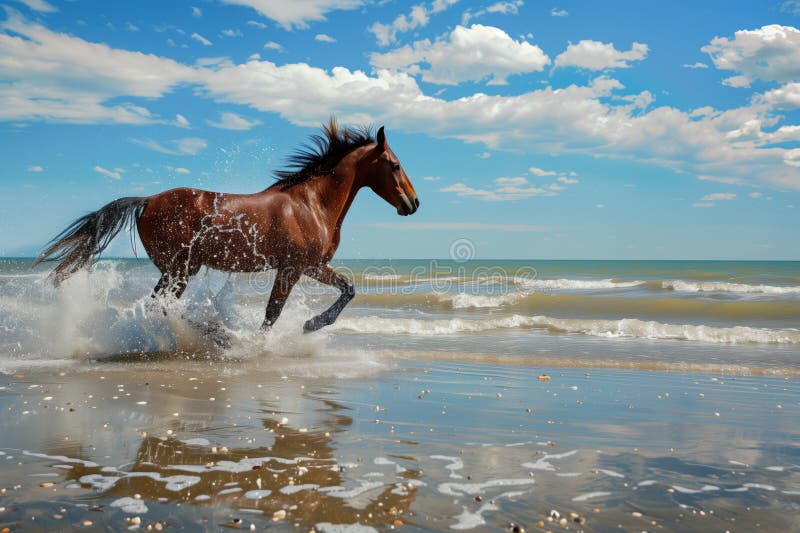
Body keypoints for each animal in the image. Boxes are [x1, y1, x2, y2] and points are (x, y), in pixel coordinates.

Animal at [34, 119, 419, 334]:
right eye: (395, 165)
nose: (413, 203)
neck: (312, 204)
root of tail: (148, 200)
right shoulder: (291, 268)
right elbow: (272, 313)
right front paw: (260, 345)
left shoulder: (312, 265)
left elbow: (349, 289)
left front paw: (311, 325)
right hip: (181, 268)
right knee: (161, 305)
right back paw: (212, 332)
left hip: (180, 268)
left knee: (159, 306)